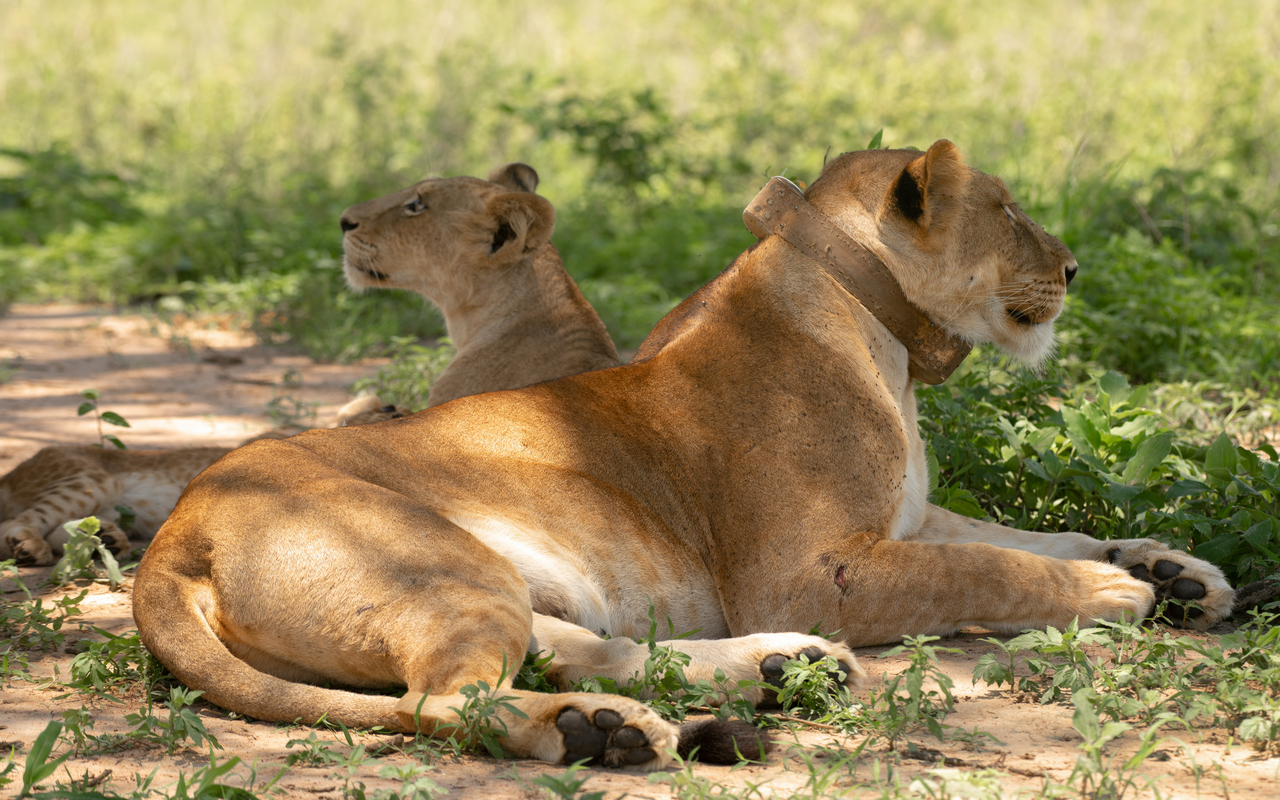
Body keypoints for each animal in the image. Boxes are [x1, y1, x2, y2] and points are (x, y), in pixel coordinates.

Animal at [132, 141, 1233, 771]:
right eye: (1006, 210)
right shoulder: (811, 571)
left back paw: (782, 672)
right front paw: (1110, 593)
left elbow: (1032, 533)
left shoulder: (905, 518)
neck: (887, 343)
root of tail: (176, 532)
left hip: (499, 574)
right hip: (435, 557)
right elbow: (991, 567)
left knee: (567, 643)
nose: (1073, 269)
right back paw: (603, 730)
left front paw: (1172, 570)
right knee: (449, 697)